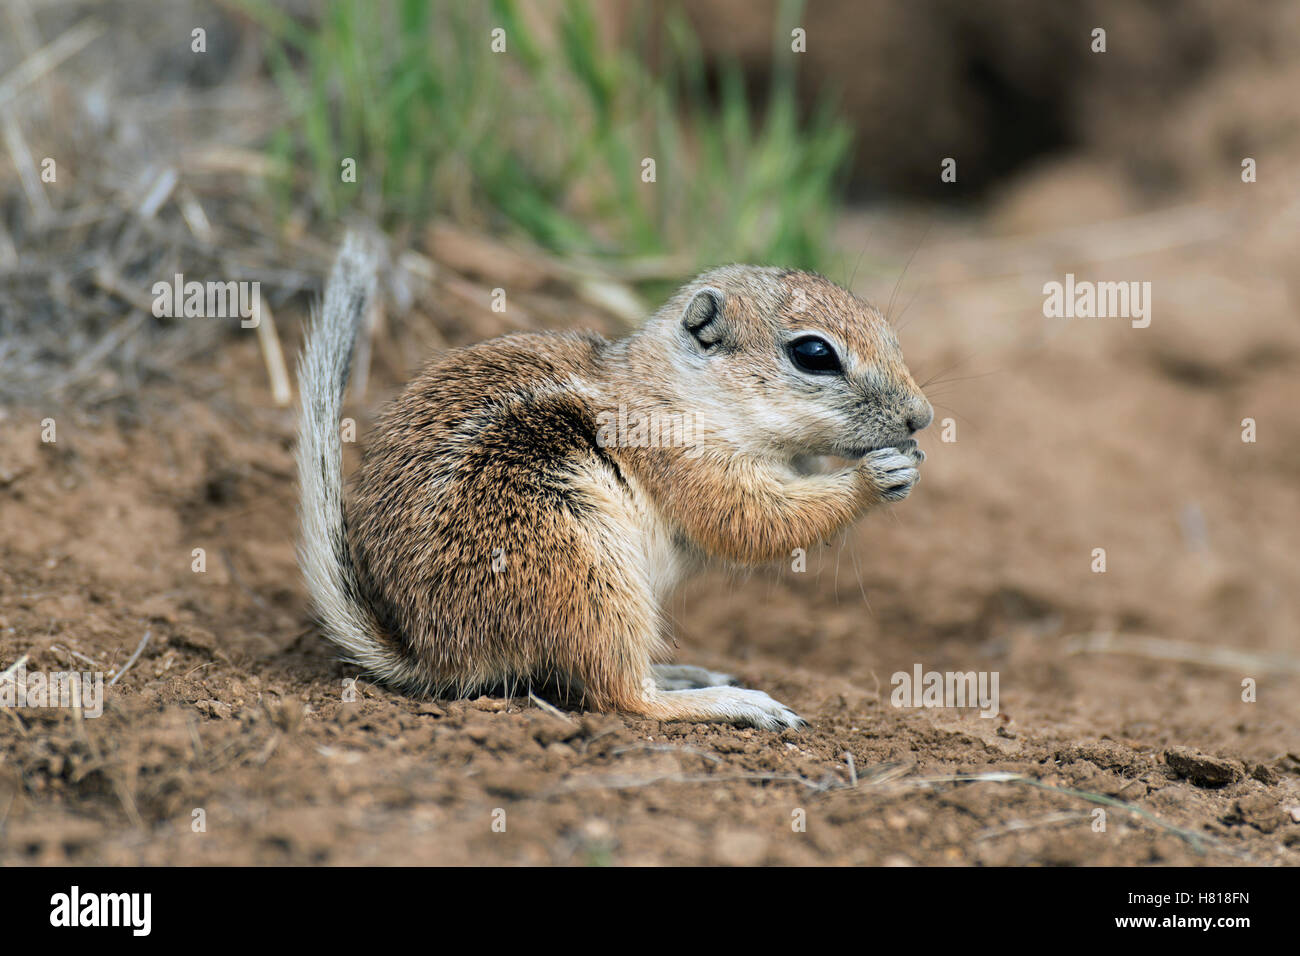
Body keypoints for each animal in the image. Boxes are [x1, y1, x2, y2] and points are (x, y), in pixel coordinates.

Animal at [296, 234, 932, 730]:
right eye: (813, 353)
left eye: (884, 329)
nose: (921, 417)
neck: (677, 390)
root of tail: (437, 653)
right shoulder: (688, 459)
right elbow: (750, 521)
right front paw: (876, 475)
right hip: (580, 559)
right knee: (621, 694)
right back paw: (731, 701)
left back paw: (684, 672)